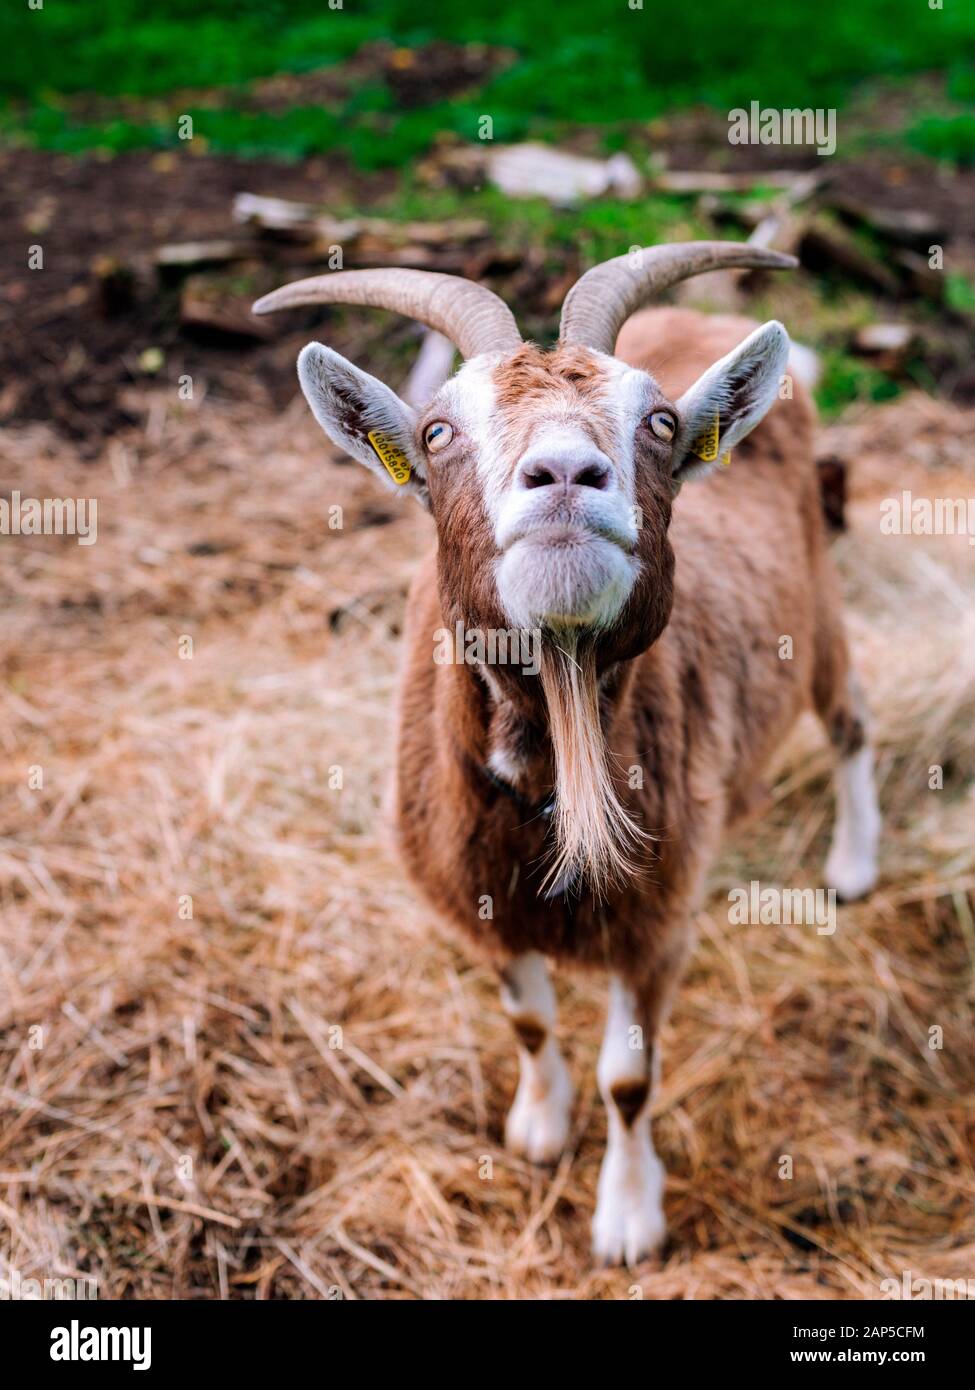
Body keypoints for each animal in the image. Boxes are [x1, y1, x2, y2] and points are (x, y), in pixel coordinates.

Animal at [254, 244, 879, 1267]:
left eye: (658, 421)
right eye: (436, 432)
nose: (562, 472)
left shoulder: (656, 926)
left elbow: (628, 1081)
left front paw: (626, 1220)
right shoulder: (478, 901)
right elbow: (527, 1019)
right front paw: (537, 1130)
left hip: (817, 611)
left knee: (852, 717)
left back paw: (855, 863)